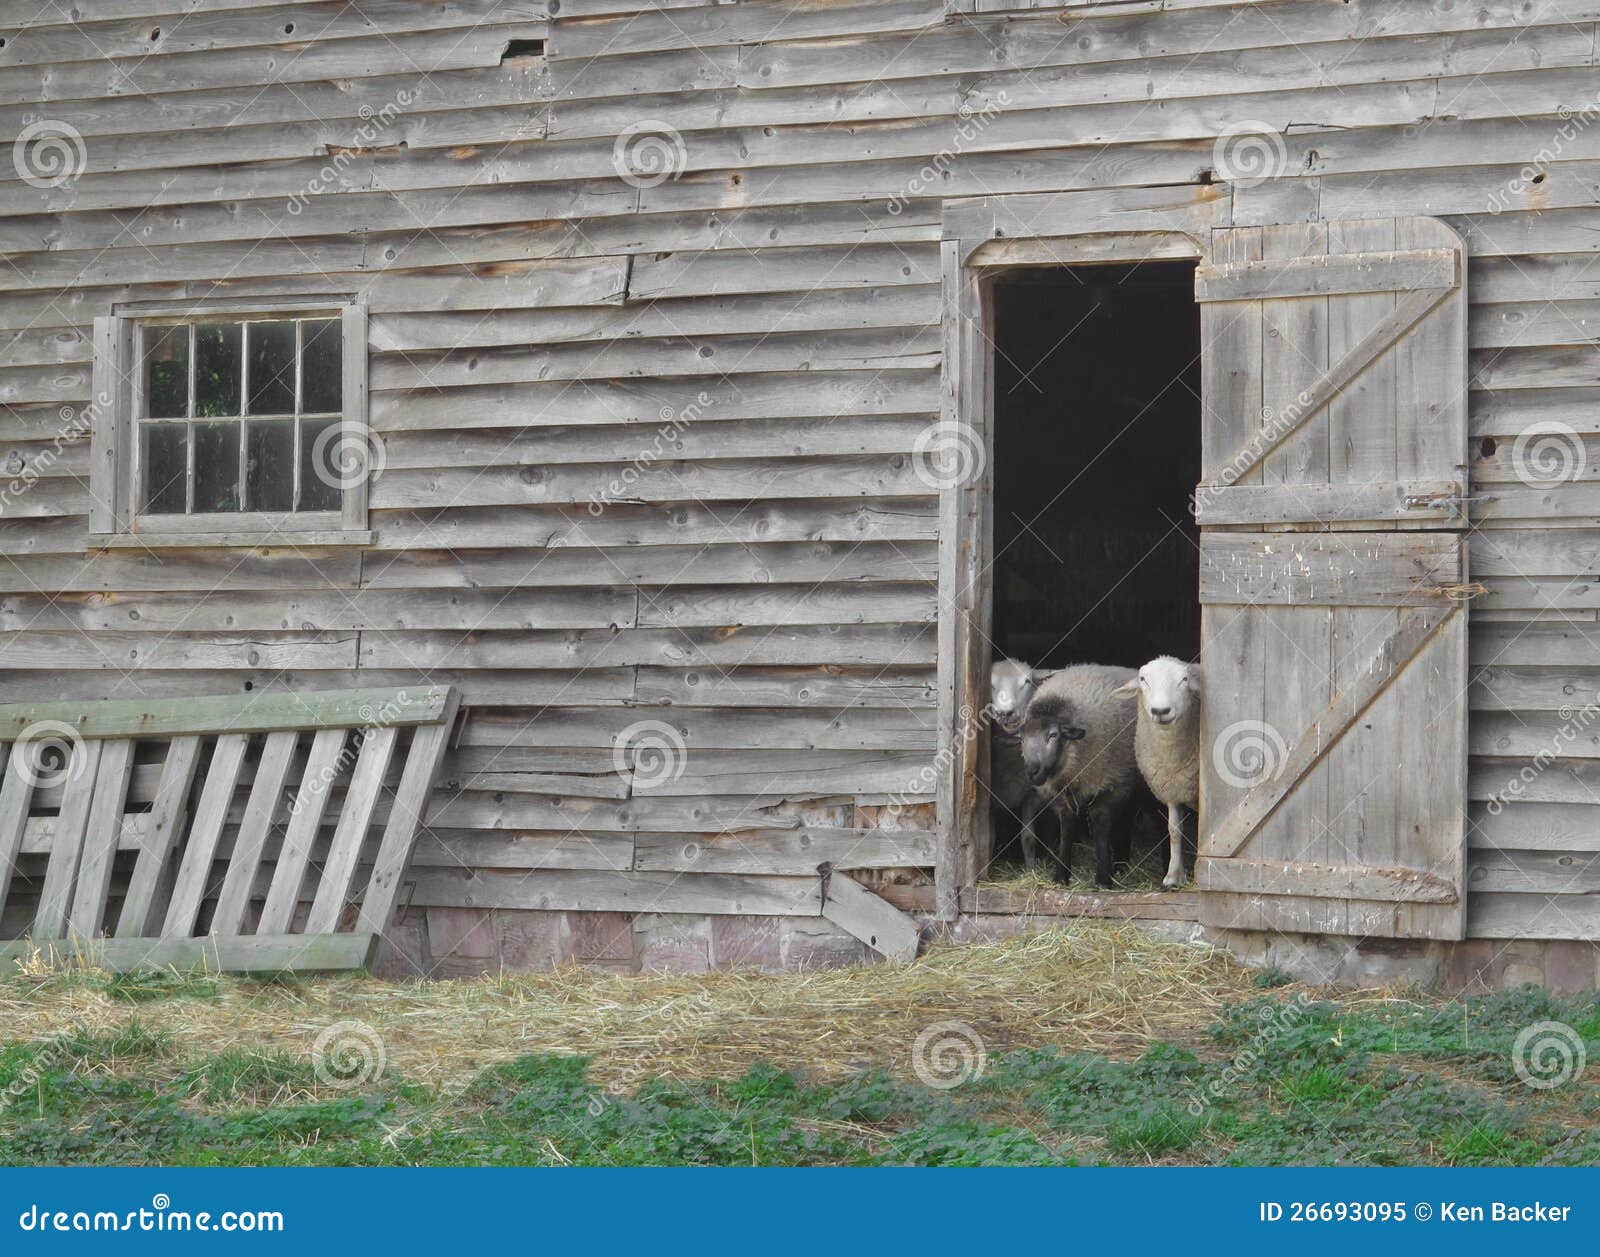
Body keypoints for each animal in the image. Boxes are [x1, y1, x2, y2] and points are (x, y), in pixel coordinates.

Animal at [987, 658, 1054, 869]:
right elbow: (989, 837)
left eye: (1027, 681)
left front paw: (1031, 869)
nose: (1005, 712)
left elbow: (1028, 837)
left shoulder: (1030, 795)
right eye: (990, 684)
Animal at [1019, 663, 1140, 887]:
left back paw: (1120, 864)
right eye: (1021, 738)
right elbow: (1067, 823)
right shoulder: (1059, 791)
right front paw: (1061, 875)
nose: (1032, 772)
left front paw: (1103, 878)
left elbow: (1100, 819)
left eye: (1053, 735)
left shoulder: (1116, 783)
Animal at [1114, 657, 1201, 889]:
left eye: (1184, 679)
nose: (1160, 711)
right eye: (1143, 679)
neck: (1172, 757)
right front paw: (1173, 876)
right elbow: (1174, 830)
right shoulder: (1171, 789)